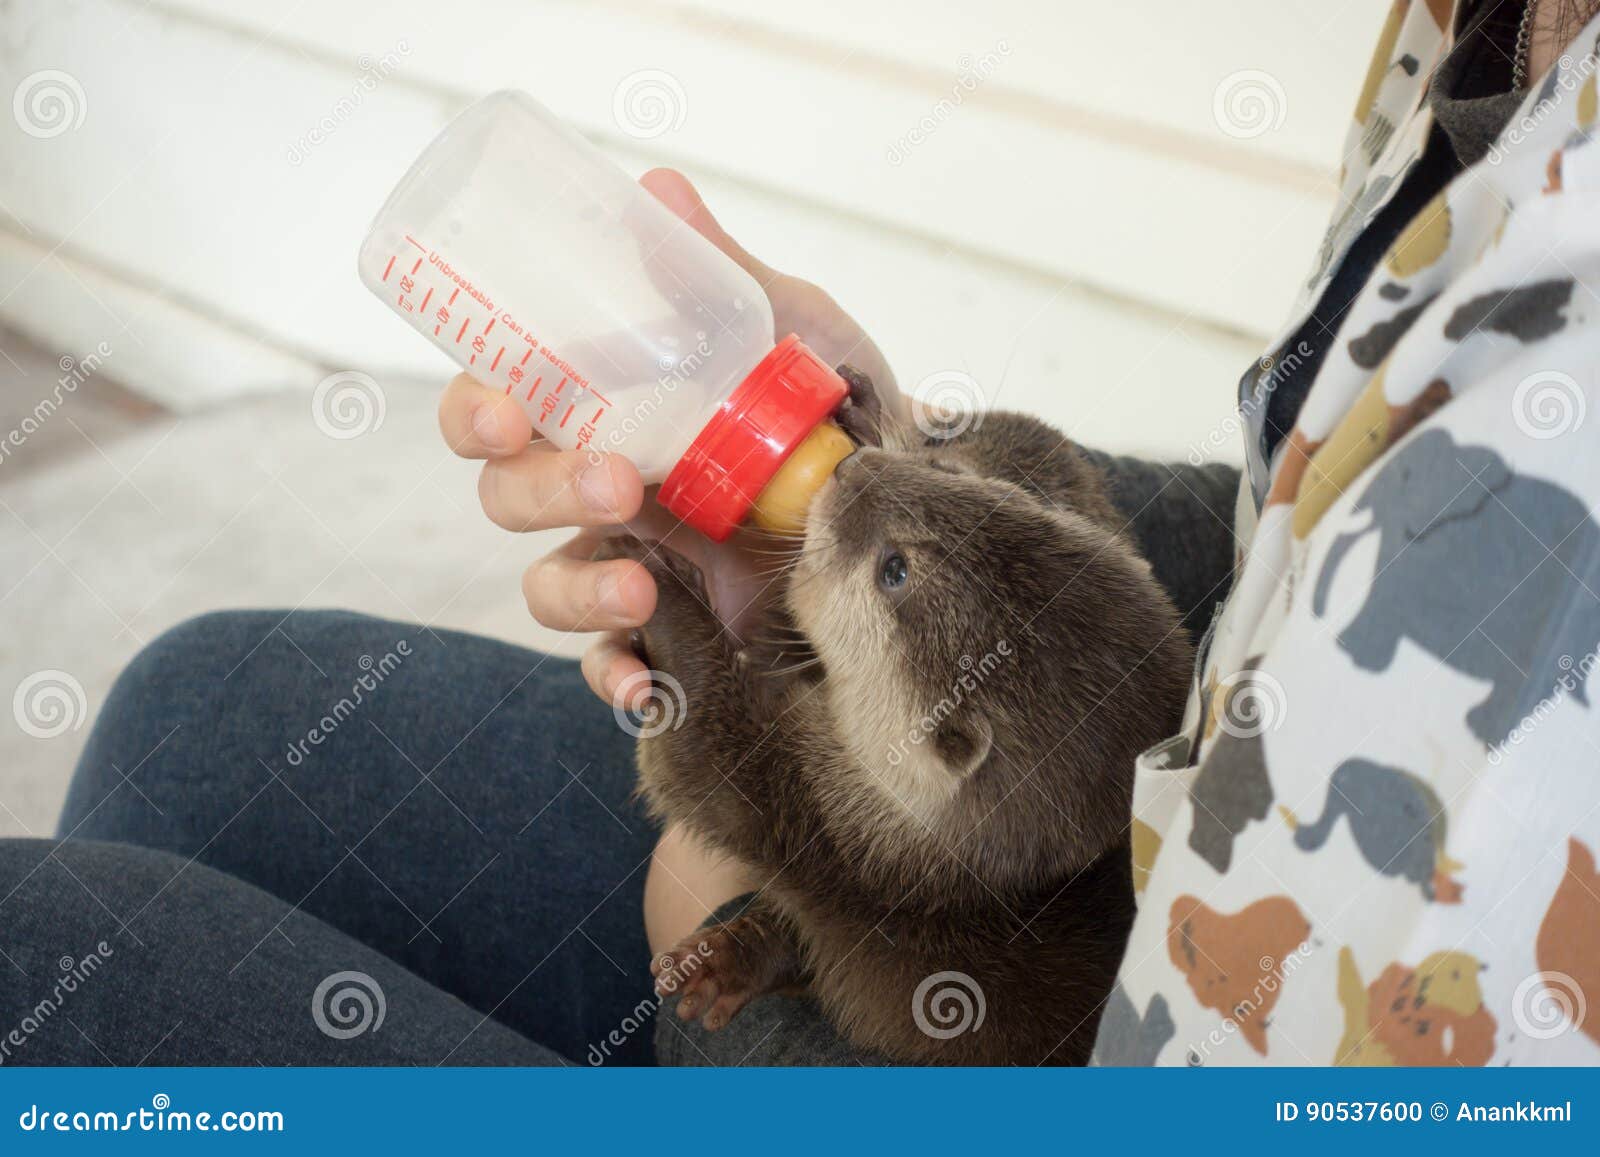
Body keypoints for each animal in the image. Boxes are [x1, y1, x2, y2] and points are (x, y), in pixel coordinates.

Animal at [601, 377, 1192, 1065]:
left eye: (895, 570)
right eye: (945, 471)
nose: (851, 466)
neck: (958, 879)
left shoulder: (831, 833)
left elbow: (706, 753)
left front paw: (664, 591)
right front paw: (861, 411)